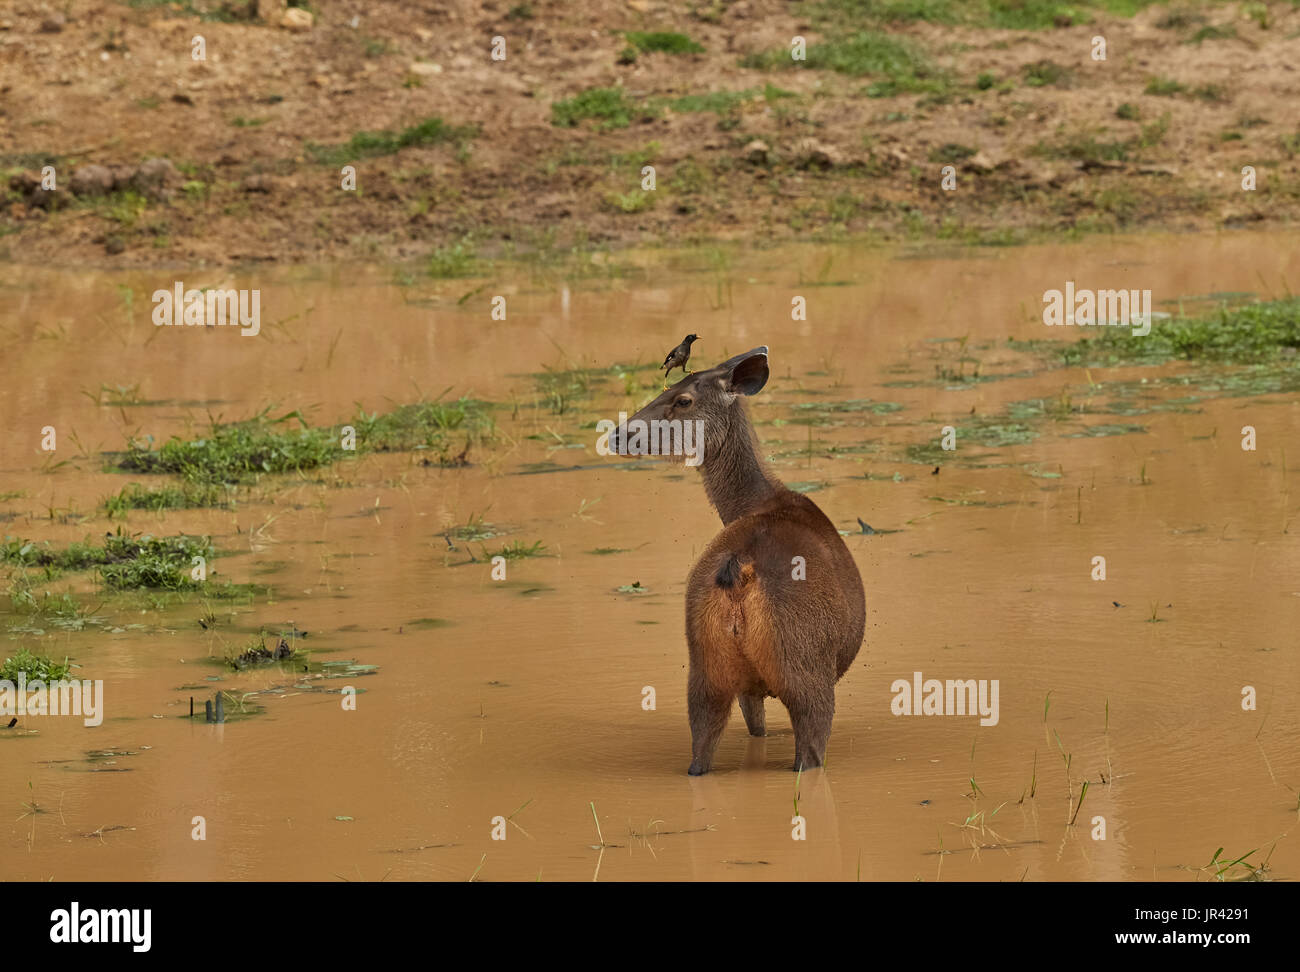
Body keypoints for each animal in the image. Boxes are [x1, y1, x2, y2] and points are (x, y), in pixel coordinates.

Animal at [608, 346, 866, 774]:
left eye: (682, 399)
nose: (617, 434)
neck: (757, 502)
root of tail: (741, 573)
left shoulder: (748, 688)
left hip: (706, 671)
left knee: (700, 753)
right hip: (806, 665)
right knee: (809, 753)